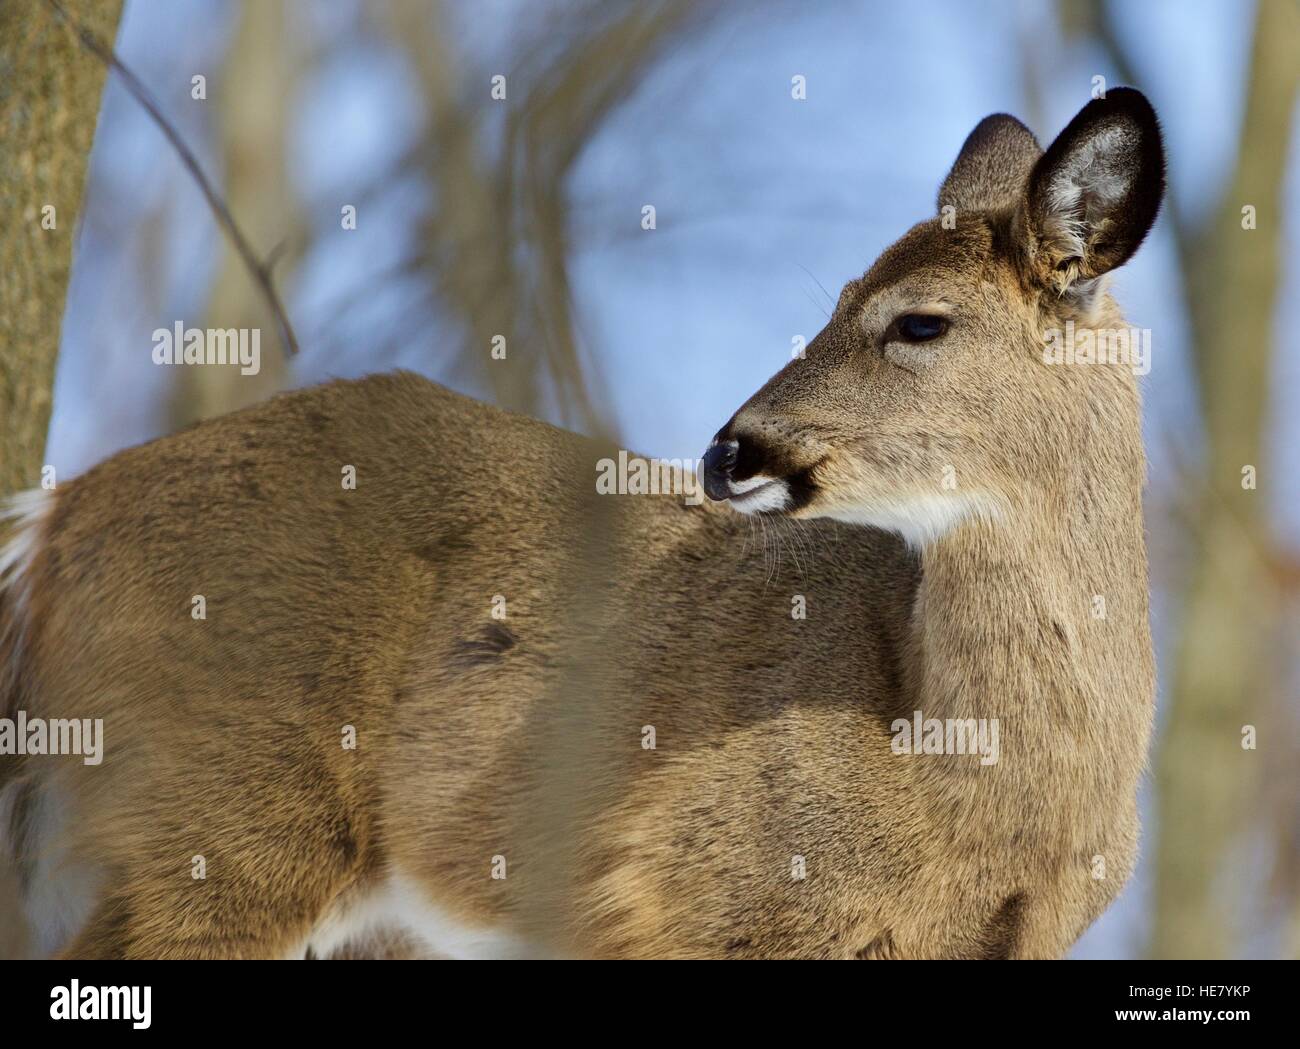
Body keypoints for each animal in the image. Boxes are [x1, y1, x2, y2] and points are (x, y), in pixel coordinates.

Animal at [0, 88, 1163, 959]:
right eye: (834, 296)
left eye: (918, 321)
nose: (727, 450)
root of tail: (54, 520)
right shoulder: (696, 897)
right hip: (219, 825)